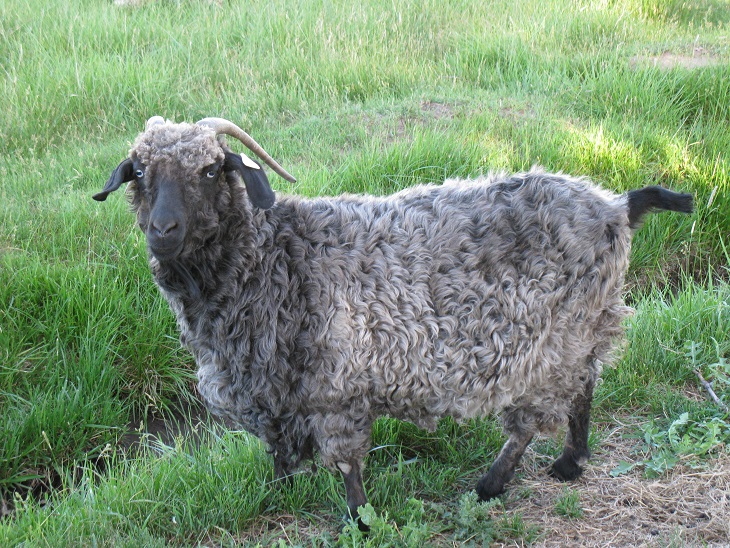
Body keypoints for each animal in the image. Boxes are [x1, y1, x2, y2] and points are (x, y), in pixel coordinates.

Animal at [93, 116, 693, 526]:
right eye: (139, 171)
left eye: (211, 169)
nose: (164, 230)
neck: (276, 259)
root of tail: (617, 206)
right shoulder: (276, 394)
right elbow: (280, 455)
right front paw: (278, 497)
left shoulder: (335, 388)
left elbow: (346, 466)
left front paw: (360, 522)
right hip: (586, 325)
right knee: (588, 383)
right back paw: (572, 460)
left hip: (552, 339)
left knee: (540, 412)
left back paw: (495, 483)